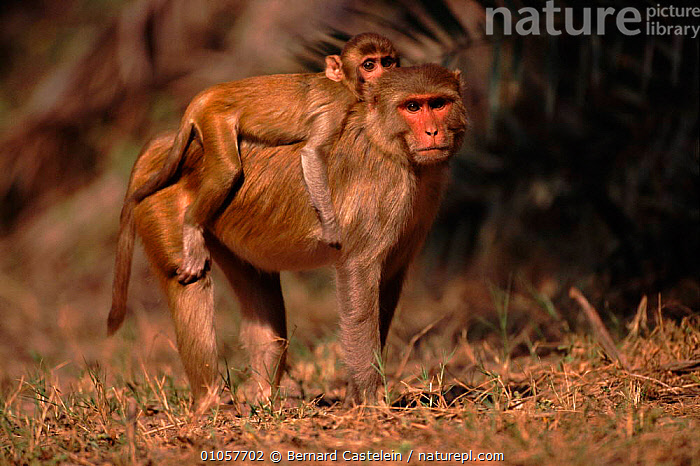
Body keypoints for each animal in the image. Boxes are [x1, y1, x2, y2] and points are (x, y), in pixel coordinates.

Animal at [109, 64, 467, 410]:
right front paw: (368, 400)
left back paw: (265, 396)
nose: (433, 132)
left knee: (257, 285)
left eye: (438, 103)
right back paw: (210, 403)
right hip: (165, 205)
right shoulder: (384, 190)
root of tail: (163, 143)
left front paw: (358, 394)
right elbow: (359, 275)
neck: (391, 146)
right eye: (413, 107)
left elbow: (388, 280)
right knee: (188, 283)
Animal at [129, 33, 399, 285]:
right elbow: (313, 154)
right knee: (228, 170)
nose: (384, 75)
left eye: (387, 62)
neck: (344, 84)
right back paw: (191, 224)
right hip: (215, 118)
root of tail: (205, 95)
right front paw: (331, 227)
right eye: (369, 65)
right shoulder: (334, 109)